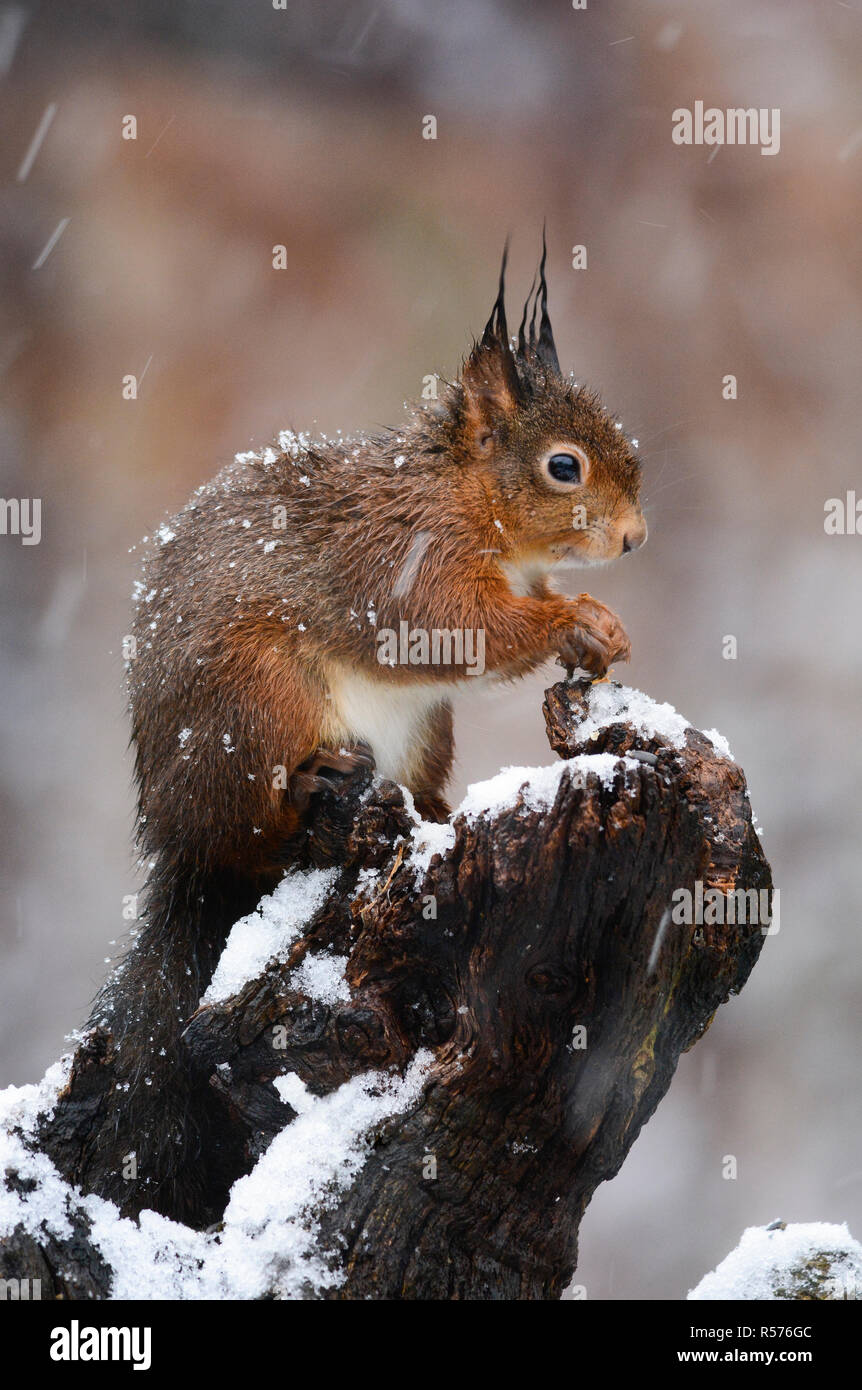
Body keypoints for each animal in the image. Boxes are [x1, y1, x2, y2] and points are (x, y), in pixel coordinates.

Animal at [77, 239, 646, 1225]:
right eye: (564, 467)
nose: (635, 536)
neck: (462, 497)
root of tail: (177, 838)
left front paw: (593, 630)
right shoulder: (407, 563)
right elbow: (461, 630)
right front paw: (576, 617)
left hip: (422, 734)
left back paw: (431, 811)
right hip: (257, 705)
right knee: (254, 839)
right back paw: (312, 800)